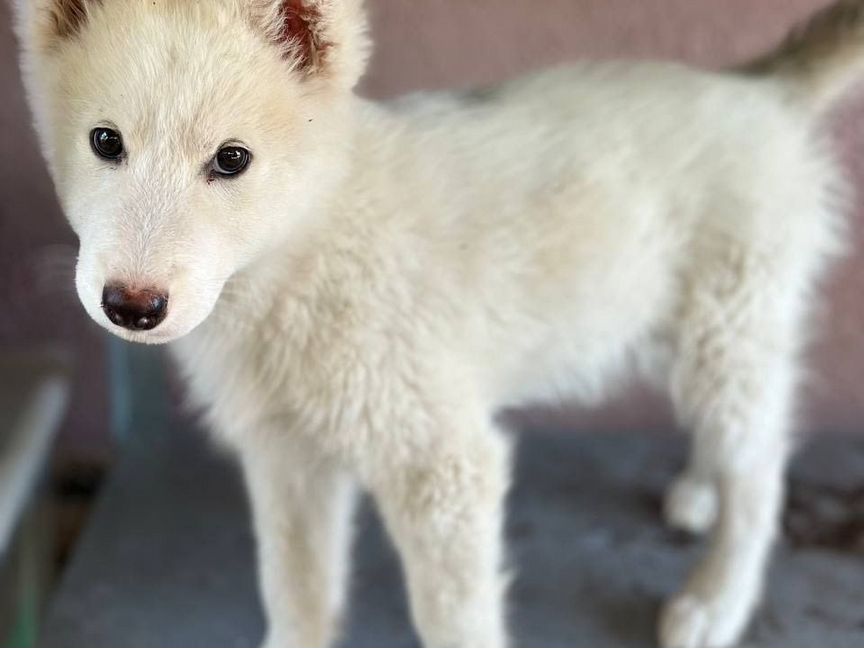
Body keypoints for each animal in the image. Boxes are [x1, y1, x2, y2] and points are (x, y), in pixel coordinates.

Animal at [15, 1, 864, 648]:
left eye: (231, 160)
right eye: (104, 142)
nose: (132, 306)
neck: (302, 251)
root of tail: (760, 92)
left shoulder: (442, 465)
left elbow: (452, 619)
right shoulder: (289, 459)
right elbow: (297, 592)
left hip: (730, 327)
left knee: (761, 469)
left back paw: (714, 601)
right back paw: (698, 491)